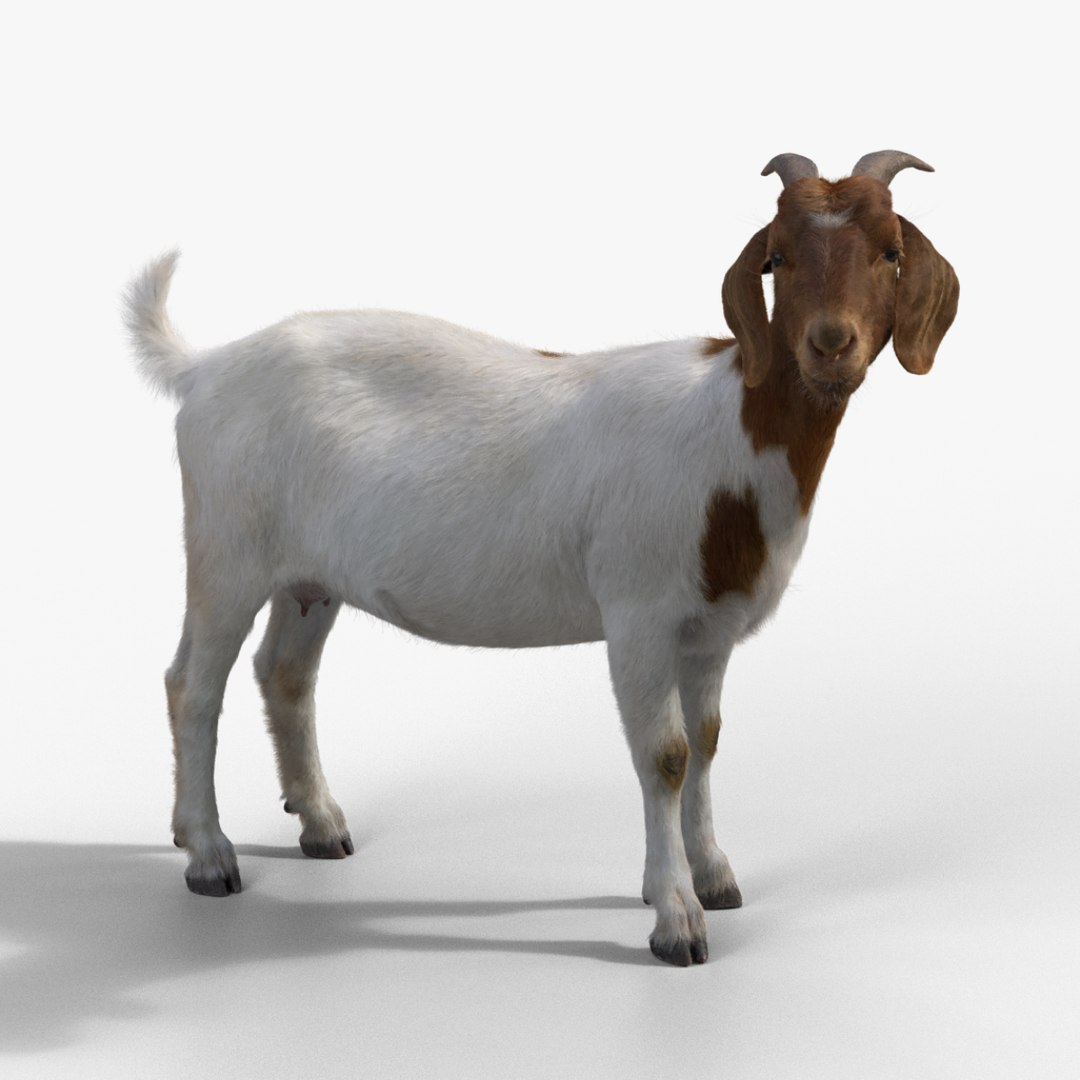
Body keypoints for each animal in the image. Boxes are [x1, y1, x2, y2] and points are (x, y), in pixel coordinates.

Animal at [126, 150, 959, 966]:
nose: (830, 343)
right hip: (226, 549)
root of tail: (205, 368)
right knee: (192, 685)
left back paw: (322, 825)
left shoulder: (710, 627)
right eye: (777, 257)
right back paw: (208, 855)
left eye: (890, 251)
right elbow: (665, 754)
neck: (729, 432)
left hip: (308, 577)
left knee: (285, 674)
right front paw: (676, 919)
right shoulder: (638, 613)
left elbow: (709, 742)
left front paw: (715, 877)